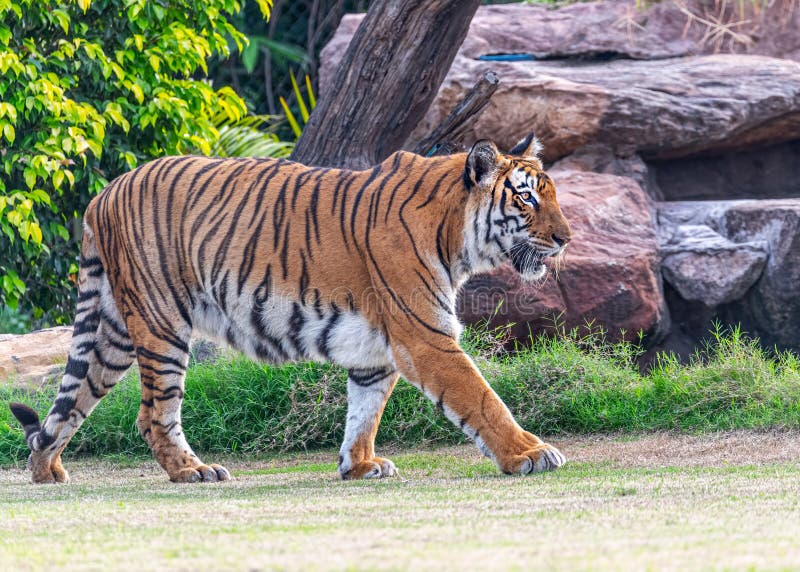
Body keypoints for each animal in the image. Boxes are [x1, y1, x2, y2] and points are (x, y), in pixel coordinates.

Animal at [9, 133, 572, 484]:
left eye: (551, 195)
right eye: (526, 200)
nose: (566, 238)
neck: (457, 238)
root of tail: (103, 193)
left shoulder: (377, 353)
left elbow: (364, 412)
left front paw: (358, 466)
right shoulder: (426, 338)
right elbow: (483, 399)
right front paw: (530, 453)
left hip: (113, 334)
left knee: (71, 401)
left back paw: (45, 471)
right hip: (160, 324)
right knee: (153, 414)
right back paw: (193, 471)